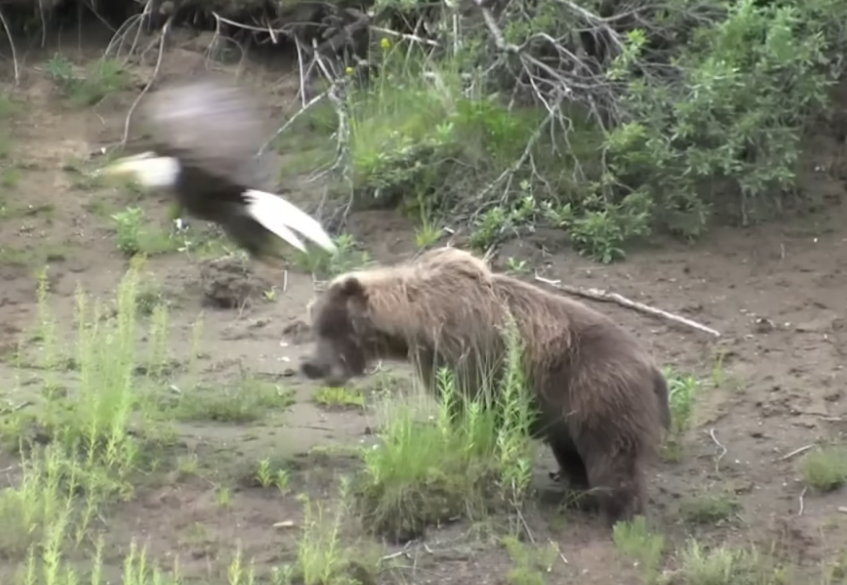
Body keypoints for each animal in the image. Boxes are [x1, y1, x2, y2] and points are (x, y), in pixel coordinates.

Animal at [300, 246, 672, 526]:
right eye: (316, 326)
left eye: (330, 328)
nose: (310, 365)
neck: (415, 324)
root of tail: (653, 366)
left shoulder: (464, 353)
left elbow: (464, 408)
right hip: (569, 410)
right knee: (571, 450)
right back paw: (571, 489)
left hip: (598, 389)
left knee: (613, 456)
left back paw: (616, 512)